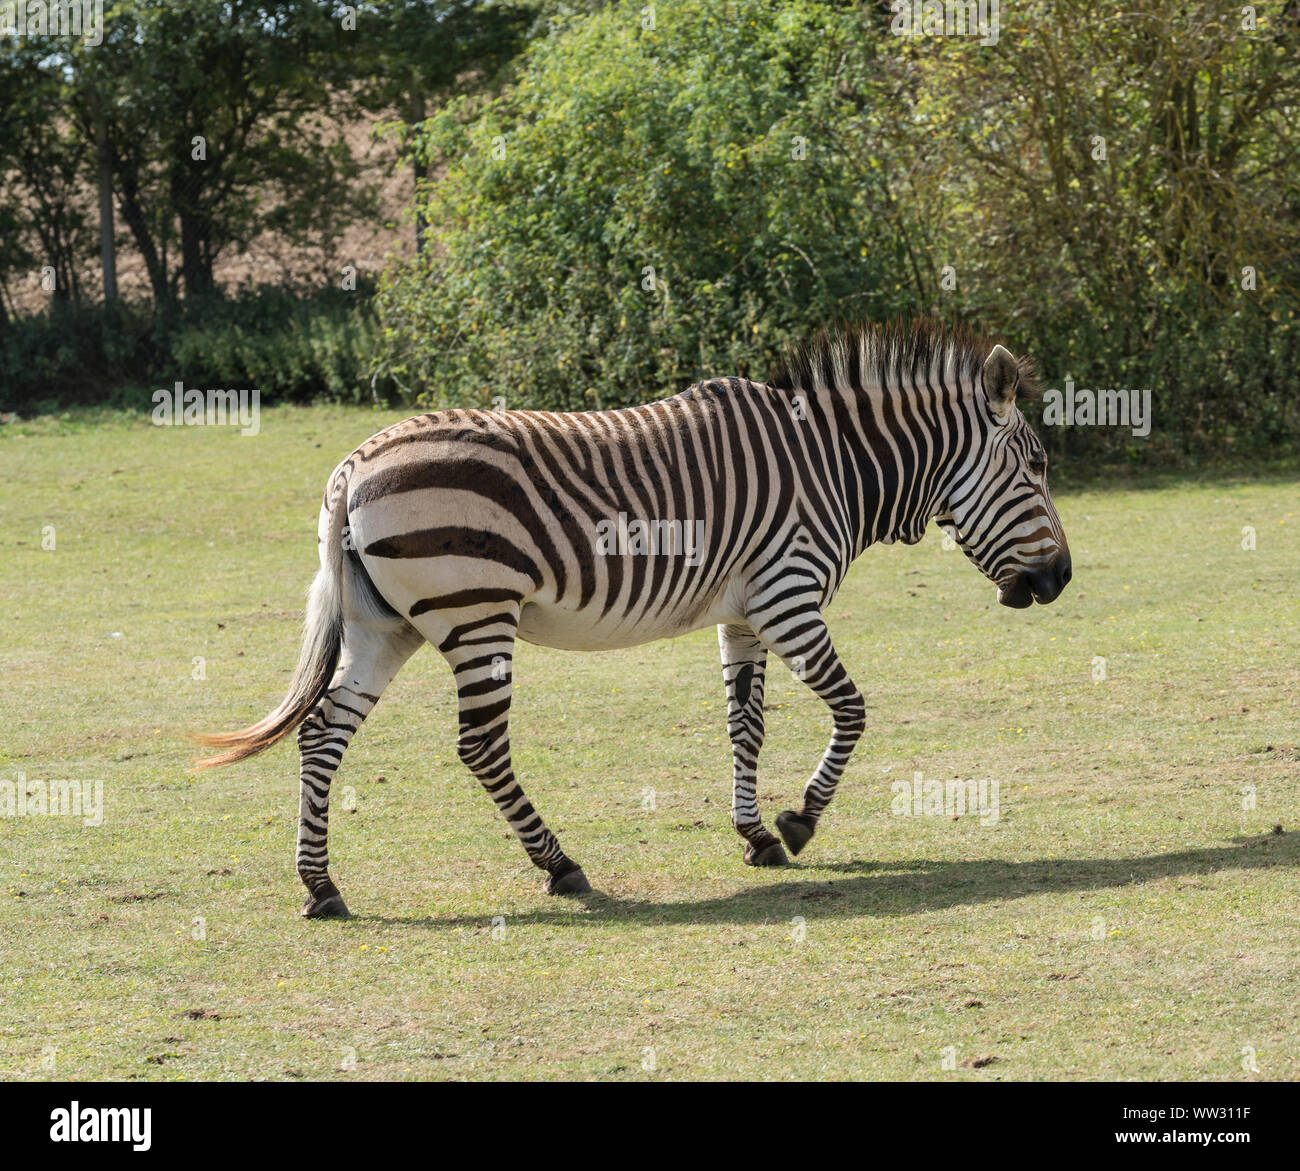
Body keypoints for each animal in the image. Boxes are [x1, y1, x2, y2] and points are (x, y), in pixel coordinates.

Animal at [194, 319, 1071, 917]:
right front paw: (799, 821)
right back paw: (561, 866)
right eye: (1036, 467)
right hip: (477, 612)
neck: (837, 466)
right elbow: (853, 709)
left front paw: (755, 834)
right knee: (480, 746)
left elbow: (744, 724)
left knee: (323, 732)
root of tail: (351, 468)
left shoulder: (744, 612)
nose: (1062, 578)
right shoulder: (788, 596)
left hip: (387, 627)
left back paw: (321, 885)